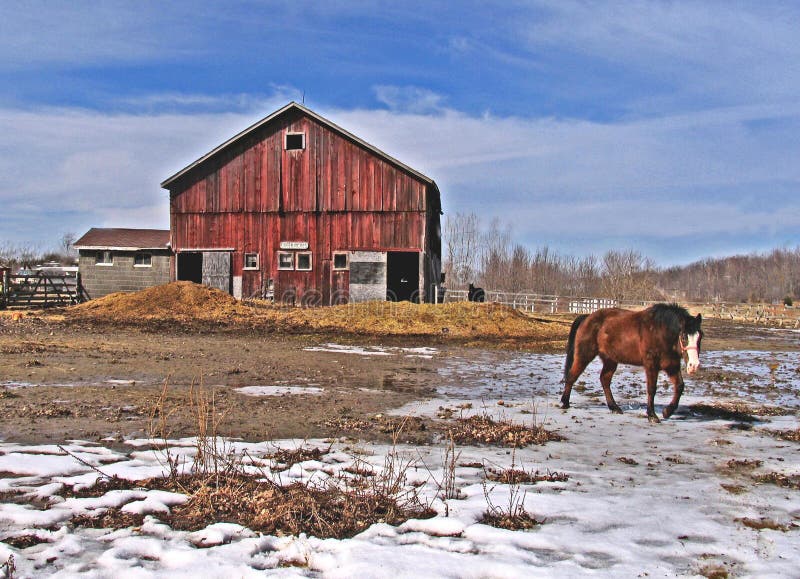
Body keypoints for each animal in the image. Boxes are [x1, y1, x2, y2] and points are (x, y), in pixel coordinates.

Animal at [560, 303, 703, 423]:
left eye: (700, 336)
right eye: (684, 337)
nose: (694, 365)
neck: (660, 331)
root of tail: (587, 317)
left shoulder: (671, 365)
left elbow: (679, 386)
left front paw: (667, 412)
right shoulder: (651, 365)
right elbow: (651, 389)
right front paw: (652, 415)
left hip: (610, 360)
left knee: (604, 380)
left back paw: (614, 407)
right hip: (584, 355)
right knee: (572, 376)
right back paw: (565, 403)